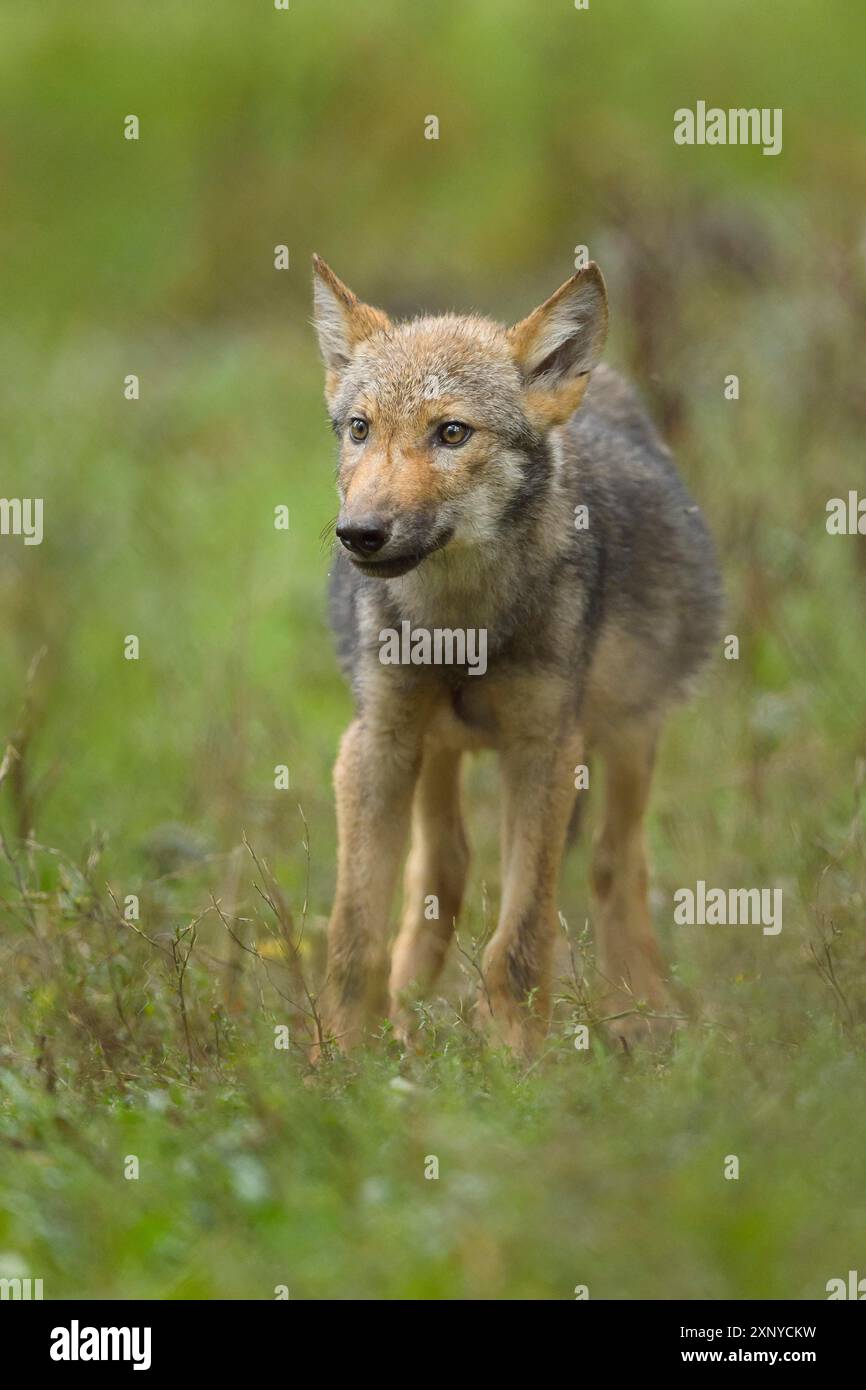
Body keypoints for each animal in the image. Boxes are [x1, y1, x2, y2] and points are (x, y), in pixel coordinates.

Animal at [312, 253, 722, 1058]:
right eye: (360, 429)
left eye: (451, 433)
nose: (360, 533)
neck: (459, 628)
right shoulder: (375, 743)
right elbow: (354, 934)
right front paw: (340, 1057)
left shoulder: (543, 749)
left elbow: (522, 940)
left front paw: (515, 1060)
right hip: (435, 749)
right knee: (441, 872)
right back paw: (407, 1013)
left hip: (626, 737)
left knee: (617, 867)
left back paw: (647, 1019)